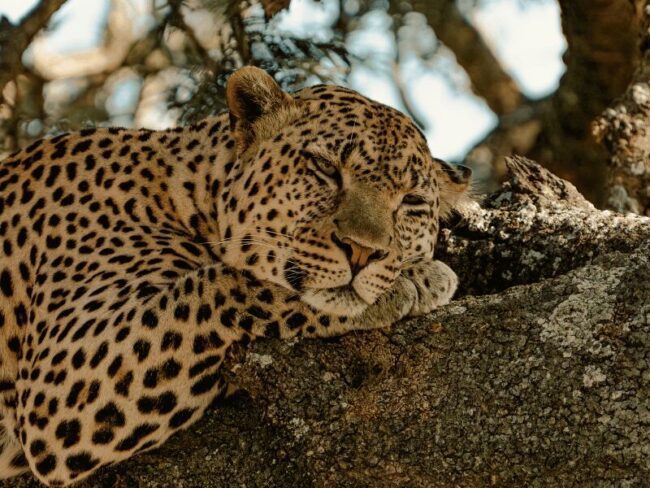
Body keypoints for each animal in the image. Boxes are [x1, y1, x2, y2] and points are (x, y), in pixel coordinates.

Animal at [0, 66, 470, 486]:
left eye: (411, 202)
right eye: (325, 167)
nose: (363, 251)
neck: (184, 193)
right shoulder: (64, 375)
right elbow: (226, 283)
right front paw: (416, 281)